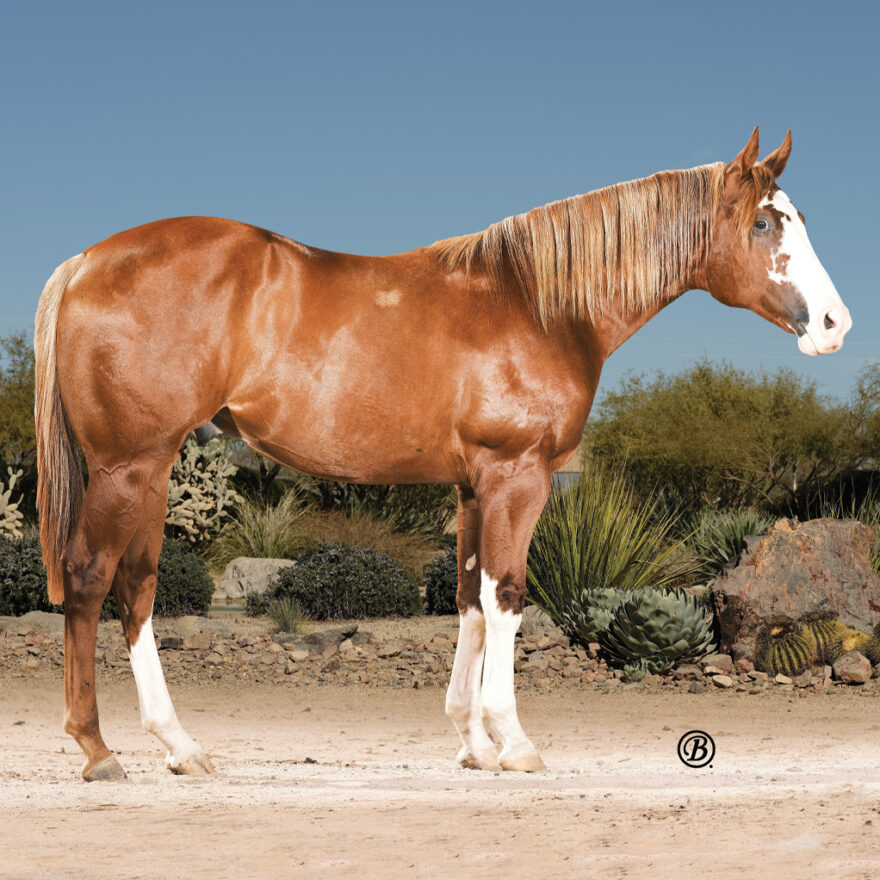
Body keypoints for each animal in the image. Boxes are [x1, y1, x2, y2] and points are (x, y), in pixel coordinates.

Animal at [34, 127, 851, 781]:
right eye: (763, 221)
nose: (835, 325)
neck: (537, 305)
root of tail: (84, 262)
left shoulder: (471, 486)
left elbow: (468, 601)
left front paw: (472, 743)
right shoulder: (518, 476)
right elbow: (508, 596)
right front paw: (515, 744)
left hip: (153, 469)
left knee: (137, 590)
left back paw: (181, 748)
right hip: (128, 467)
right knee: (90, 580)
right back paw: (98, 751)